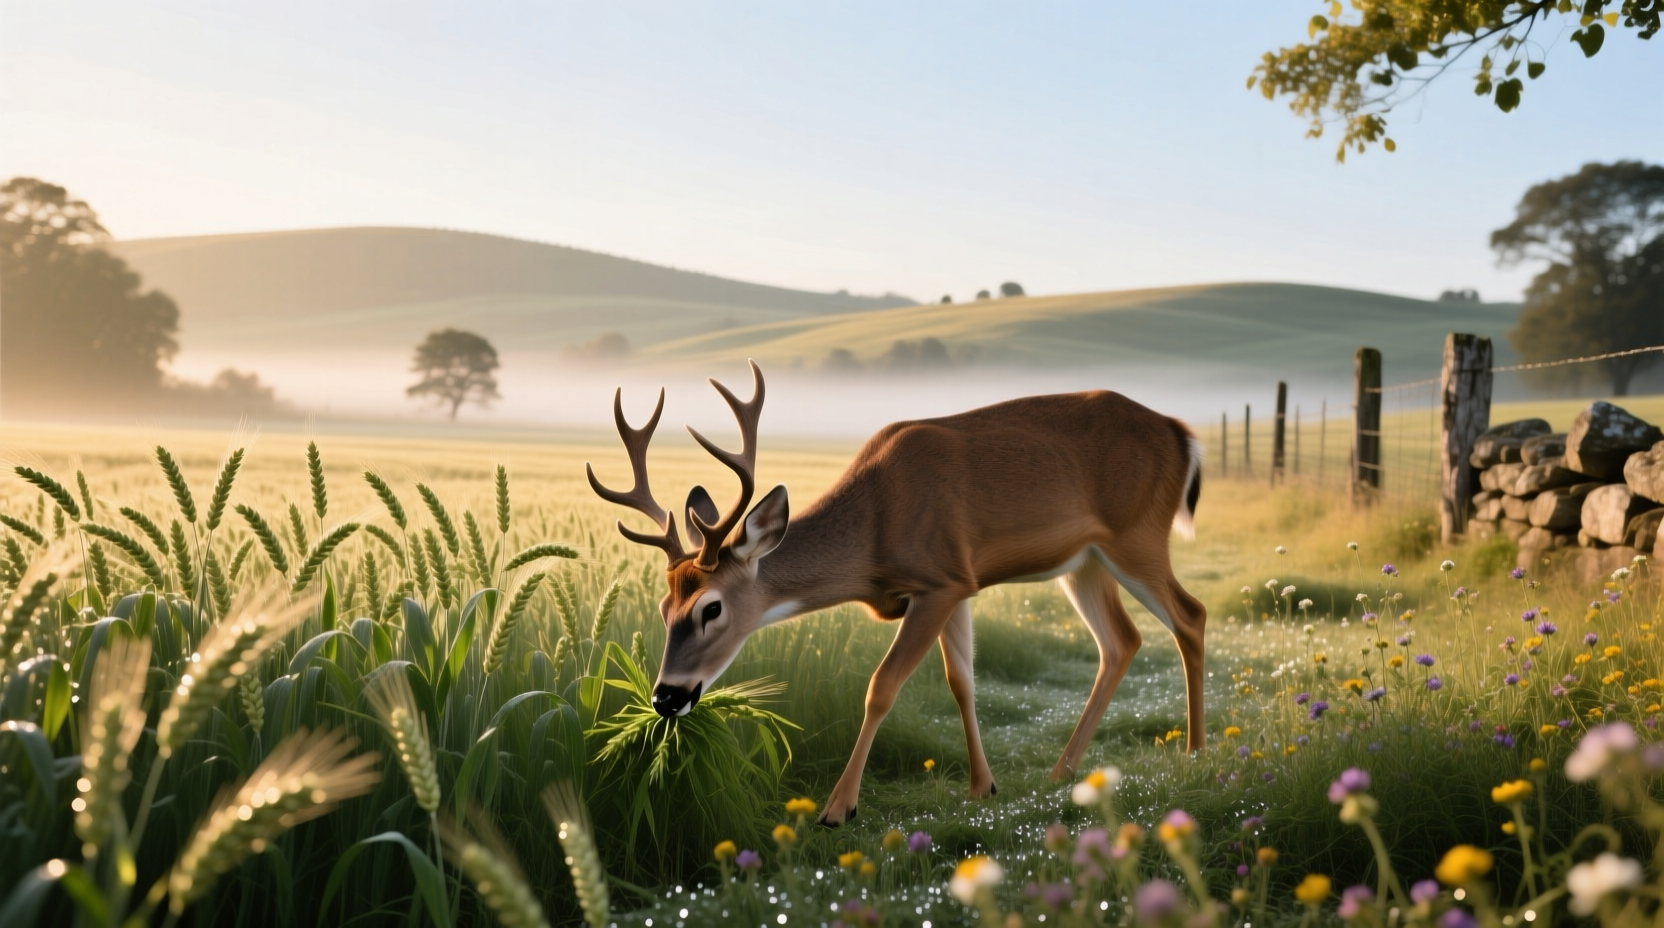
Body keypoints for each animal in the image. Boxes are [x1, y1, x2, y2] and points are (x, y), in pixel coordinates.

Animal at [586, 361, 1206, 826]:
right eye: (664, 607)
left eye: (711, 608)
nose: (666, 697)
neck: (875, 534)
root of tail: (1183, 433)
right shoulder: (958, 585)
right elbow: (961, 681)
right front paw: (983, 786)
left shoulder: (941, 580)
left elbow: (883, 686)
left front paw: (837, 808)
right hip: (1084, 562)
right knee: (1121, 641)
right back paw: (1063, 770)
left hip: (1136, 534)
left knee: (1190, 615)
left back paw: (1196, 752)